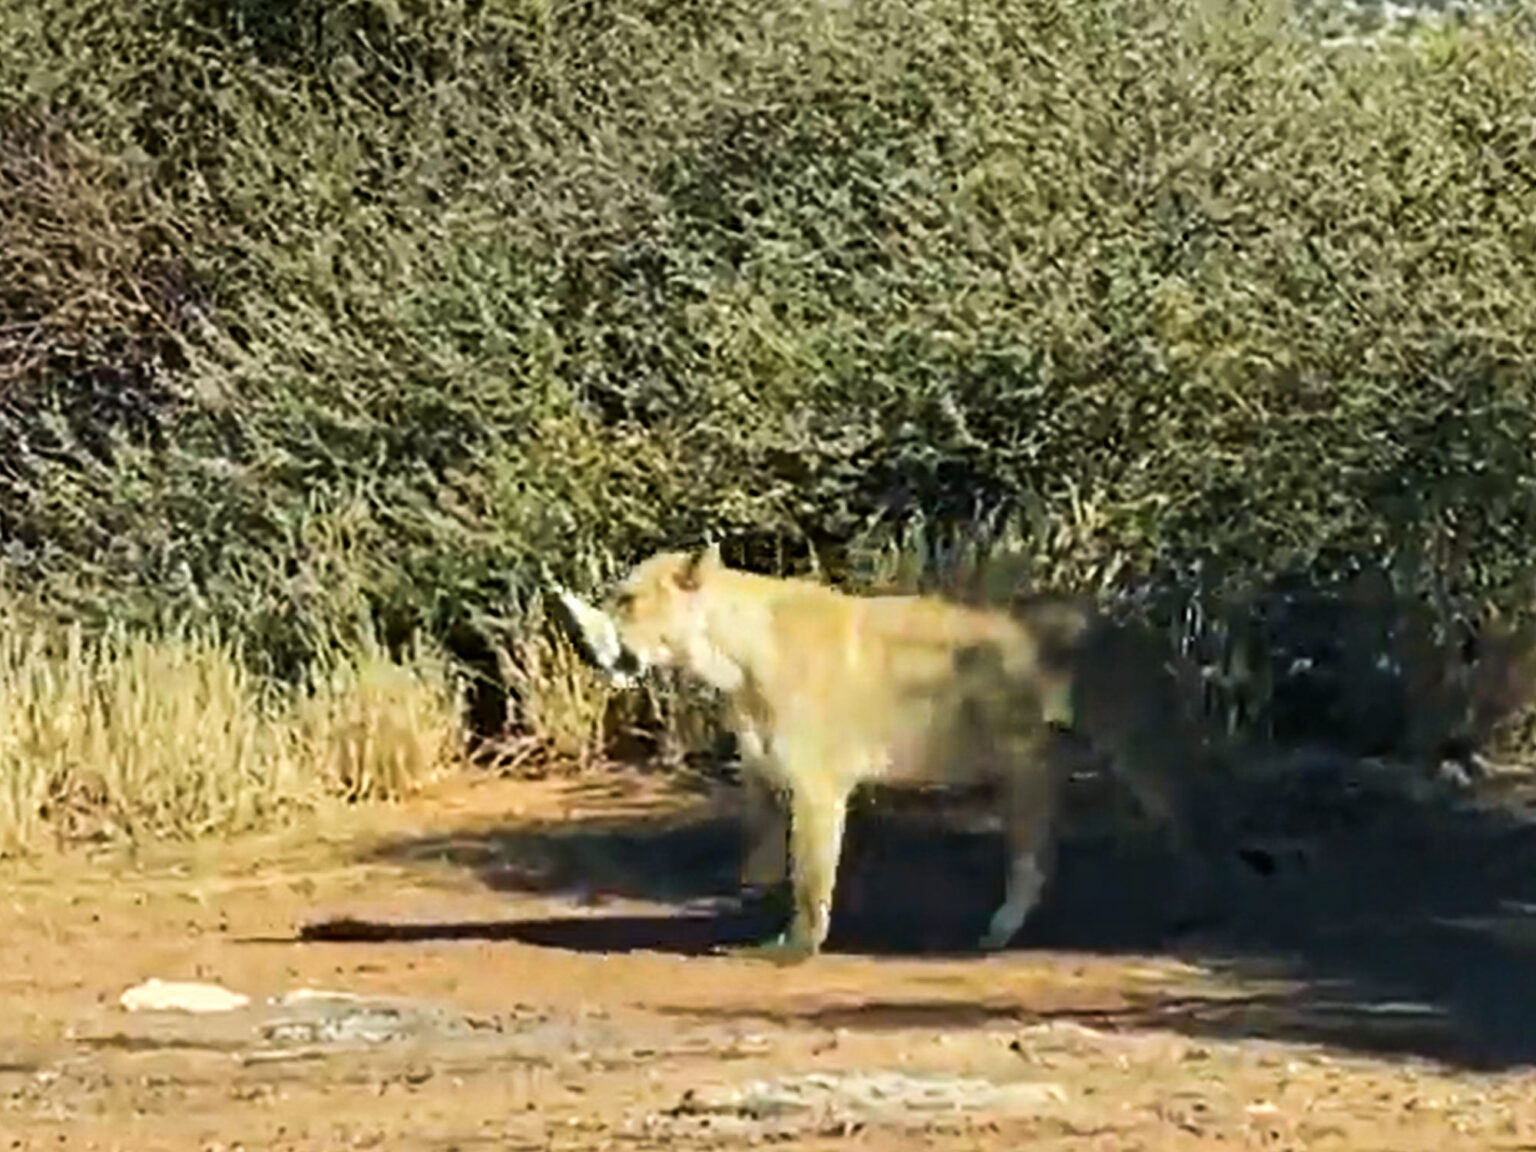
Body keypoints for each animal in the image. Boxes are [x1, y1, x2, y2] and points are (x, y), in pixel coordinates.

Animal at [554, 544, 1225, 962]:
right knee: (1043, 855)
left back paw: (1187, 912)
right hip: (1033, 767)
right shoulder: (764, 778)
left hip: (1131, 754)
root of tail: (1130, 623)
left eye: (627, 600)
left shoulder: (818, 783)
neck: (728, 662)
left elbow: (809, 873)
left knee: (1179, 825)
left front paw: (793, 949)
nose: (588, 646)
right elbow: (764, 861)